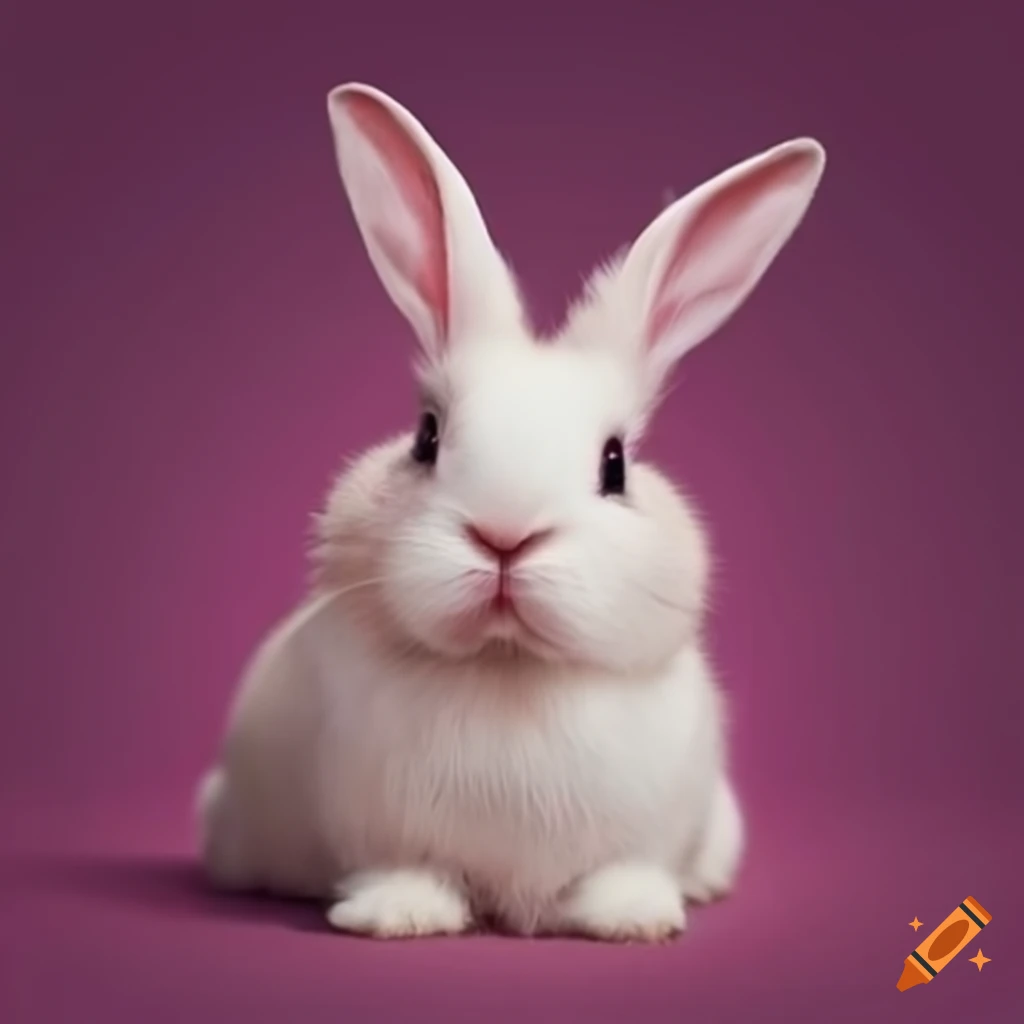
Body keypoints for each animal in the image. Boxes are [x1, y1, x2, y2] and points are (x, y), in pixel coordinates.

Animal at [196, 82, 825, 941]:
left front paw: (633, 921)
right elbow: (407, 871)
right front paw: (399, 917)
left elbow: (622, 873)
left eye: (615, 464)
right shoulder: (383, 831)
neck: (508, 666)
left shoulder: (645, 833)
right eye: (426, 437)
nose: (504, 536)